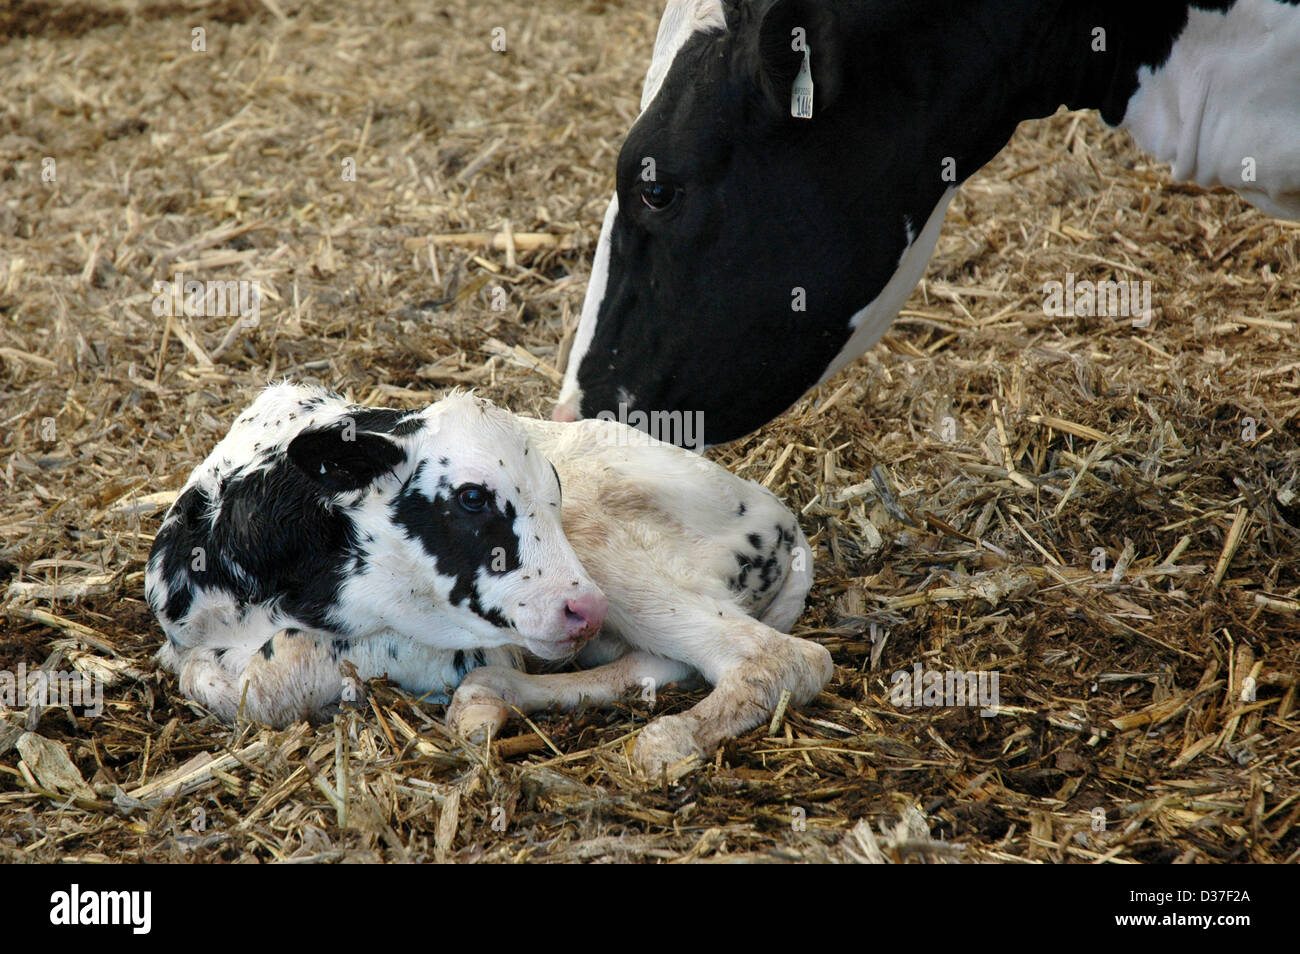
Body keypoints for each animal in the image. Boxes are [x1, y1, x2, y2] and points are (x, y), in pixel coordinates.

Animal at [145, 382, 832, 775]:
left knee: (783, 658)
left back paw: (666, 741)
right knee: (661, 662)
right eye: (472, 496)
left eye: (552, 491)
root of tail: (783, 520)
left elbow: (265, 682)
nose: (584, 609)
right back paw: (488, 698)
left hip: (609, 544)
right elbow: (202, 672)